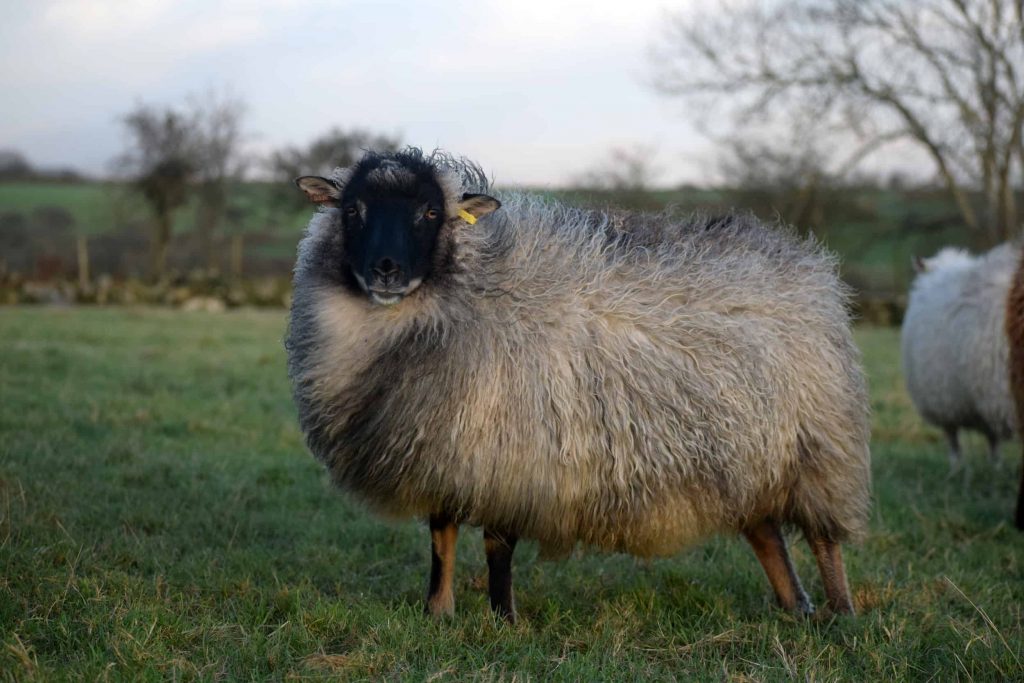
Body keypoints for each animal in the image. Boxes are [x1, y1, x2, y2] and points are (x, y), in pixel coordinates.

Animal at [285, 148, 872, 622]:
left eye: (430, 211)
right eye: (353, 209)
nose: (385, 270)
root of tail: (804, 260)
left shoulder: (515, 456)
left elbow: (497, 545)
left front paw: (504, 620)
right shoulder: (449, 450)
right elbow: (441, 537)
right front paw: (439, 612)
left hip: (816, 445)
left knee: (823, 538)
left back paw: (839, 614)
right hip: (746, 456)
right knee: (767, 533)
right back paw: (794, 608)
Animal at [901, 244, 1017, 467]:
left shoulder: (945, 396)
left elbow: (955, 438)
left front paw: (957, 467)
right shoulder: (978, 396)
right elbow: (990, 437)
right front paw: (995, 467)